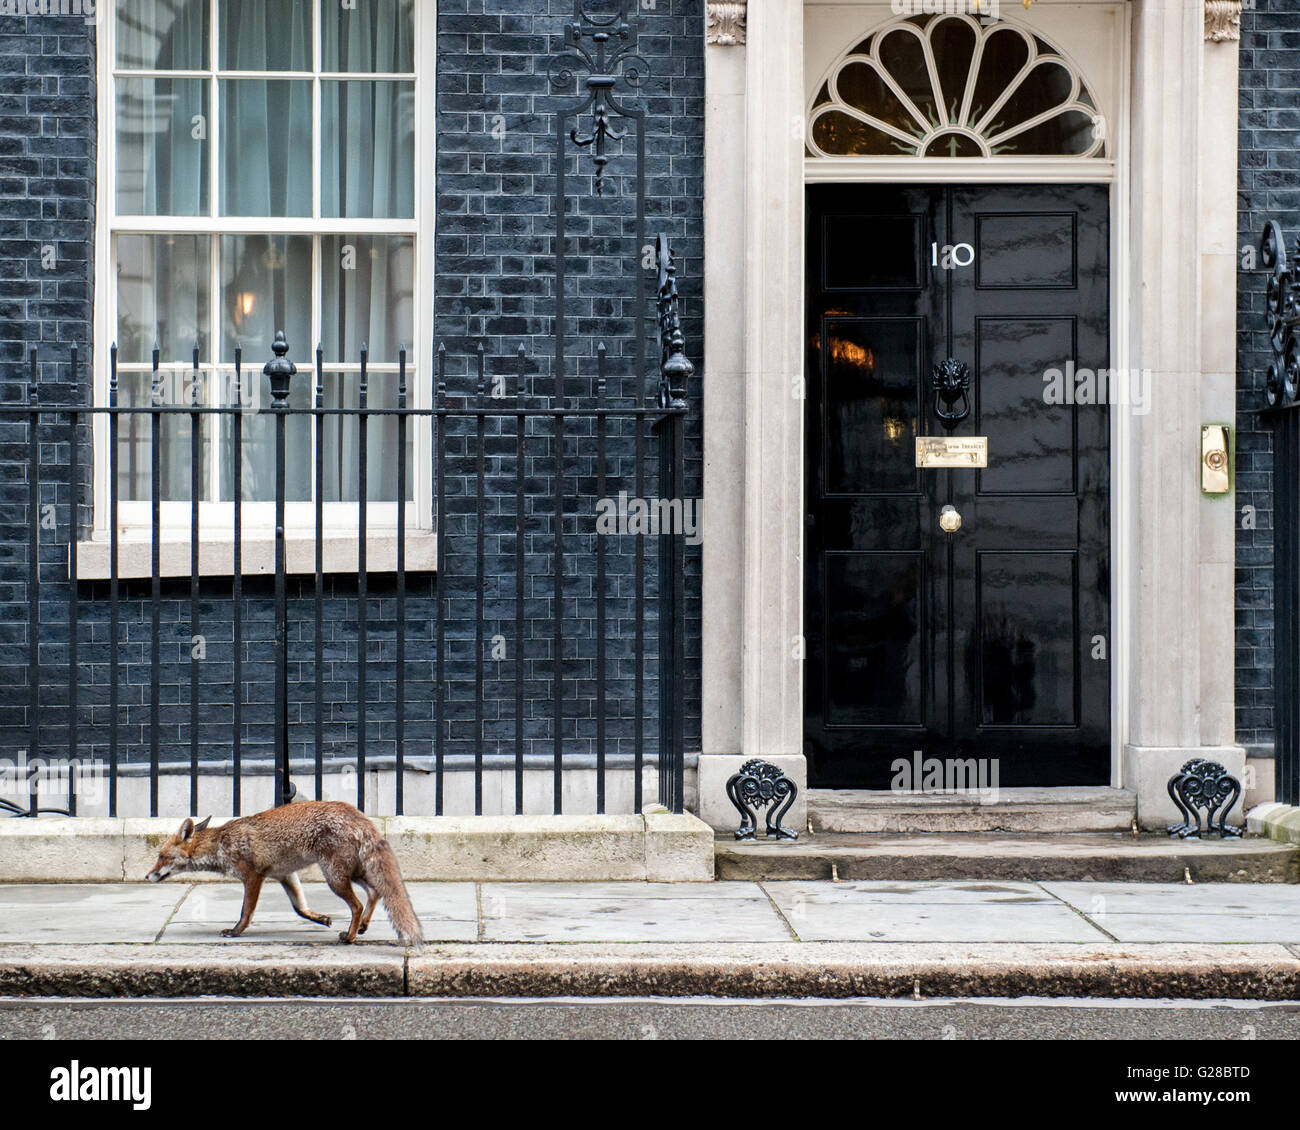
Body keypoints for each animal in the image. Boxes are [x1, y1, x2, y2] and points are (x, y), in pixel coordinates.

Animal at [144, 800, 424, 950]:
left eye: (161, 856)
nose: (148, 876)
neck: (223, 844)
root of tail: (358, 815)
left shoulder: (253, 876)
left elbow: (246, 912)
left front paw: (235, 932)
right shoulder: (285, 876)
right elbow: (299, 908)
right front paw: (321, 919)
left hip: (334, 877)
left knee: (357, 904)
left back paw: (350, 936)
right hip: (352, 873)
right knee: (375, 893)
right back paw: (363, 926)